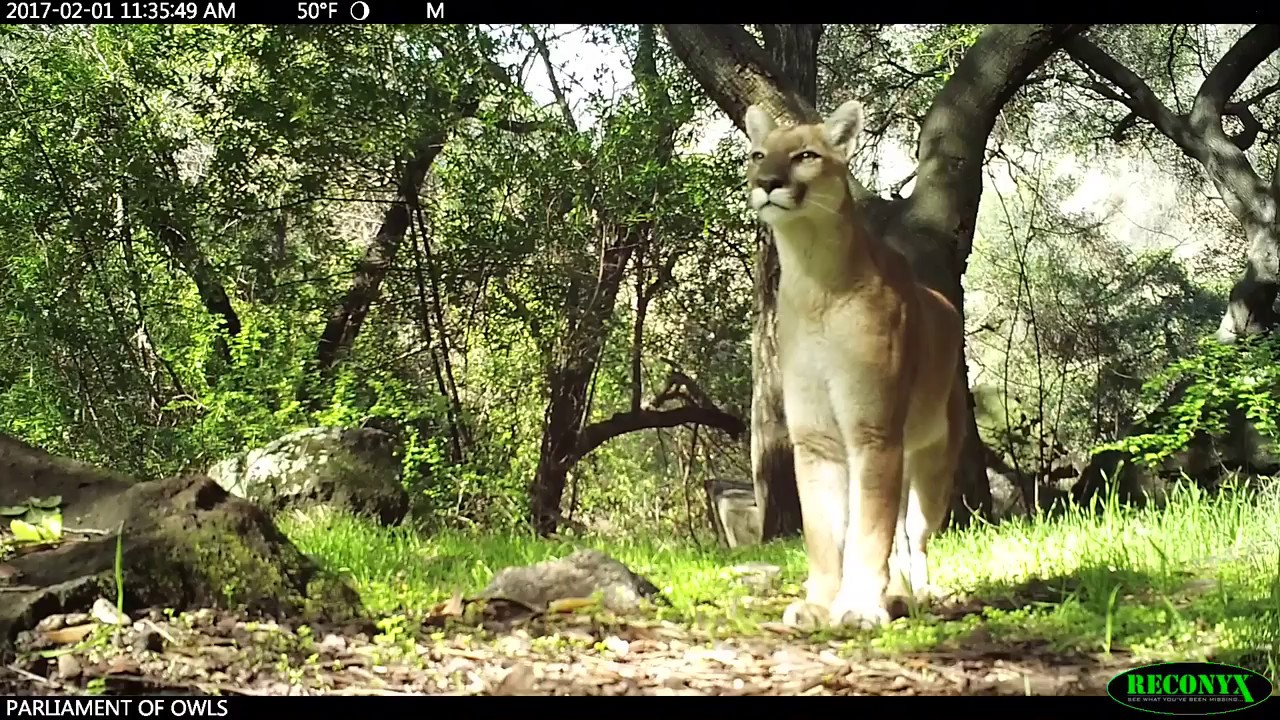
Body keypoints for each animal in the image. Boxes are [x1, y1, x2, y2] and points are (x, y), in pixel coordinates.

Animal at [743, 100, 967, 630]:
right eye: (758, 154)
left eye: (805, 155)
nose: (766, 181)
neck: (815, 279)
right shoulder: (817, 440)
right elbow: (824, 535)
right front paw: (821, 603)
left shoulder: (874, 433)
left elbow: (870, 531)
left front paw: (860, 605)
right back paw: (898, 594)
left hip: (931, 465)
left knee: (914, 535)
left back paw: (916, 594)